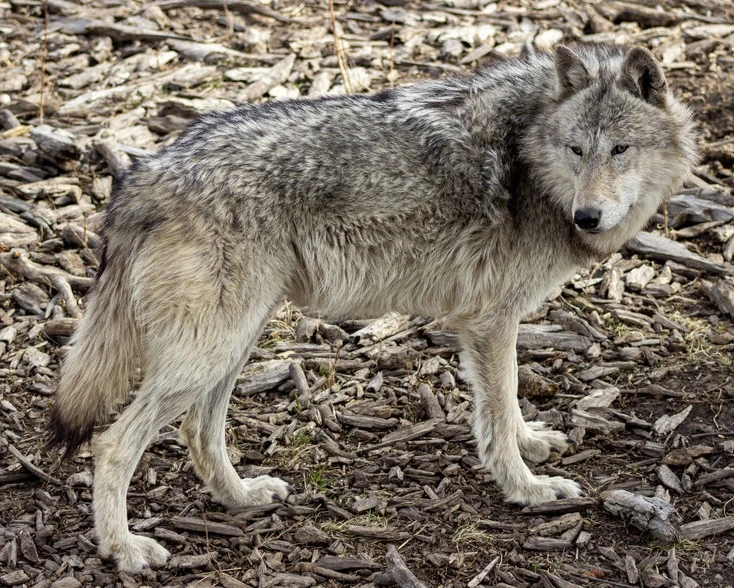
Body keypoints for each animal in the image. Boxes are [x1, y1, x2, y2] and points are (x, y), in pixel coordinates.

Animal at [48, 43, 697, 572]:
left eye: (620, 150)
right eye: (577, 150)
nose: (588, 216)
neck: (528, 152)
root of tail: (144, 172)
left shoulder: (493, 323)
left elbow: (507, 403)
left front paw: (532, 443)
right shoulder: (488, 319)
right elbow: (498, 412)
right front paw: (528, 489)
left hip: (233, 343)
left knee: (198, 432)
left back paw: (243, 498)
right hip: (211, 348)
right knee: (113, 444)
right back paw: (125, 550)